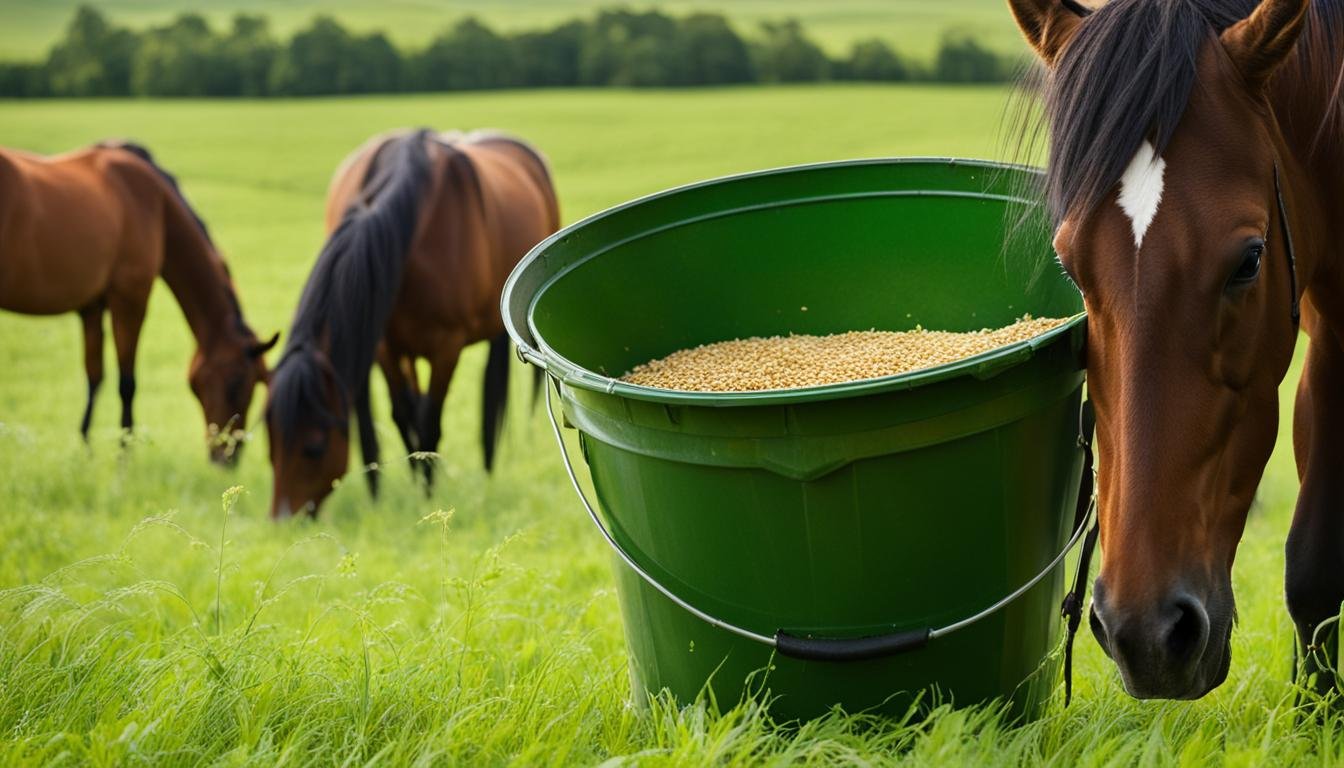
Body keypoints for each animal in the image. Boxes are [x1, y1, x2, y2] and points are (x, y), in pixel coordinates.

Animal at [0, 140, 278, 463]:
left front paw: (86, 452)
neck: (157, 206)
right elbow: (127, 383)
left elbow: (94, 376)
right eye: (237, 385)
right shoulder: (131, 298)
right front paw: (124, 457)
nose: (227, 458)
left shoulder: (92, 307)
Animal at [265, 129, 560, 518]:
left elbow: (430, 421)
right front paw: (416, 484)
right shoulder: (386, 348)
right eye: (269, 440)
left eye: (314, 447)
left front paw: (429, 495)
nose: (283, 519)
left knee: (490, 402)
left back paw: (488, 471)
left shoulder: (446, 347)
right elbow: (405, 415)